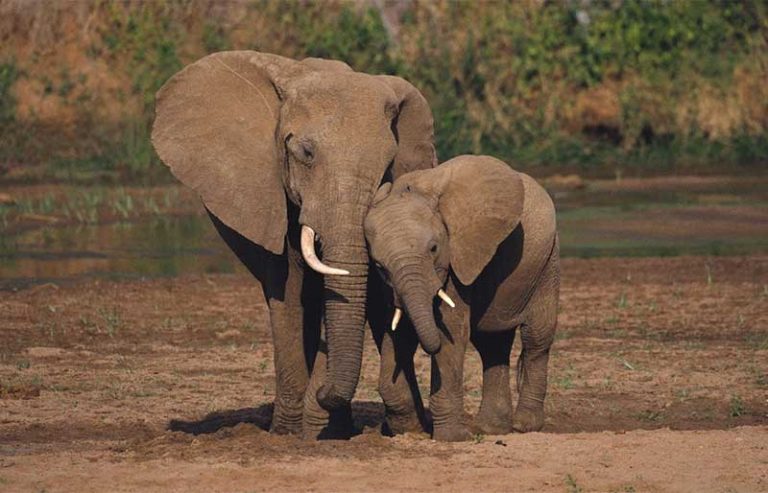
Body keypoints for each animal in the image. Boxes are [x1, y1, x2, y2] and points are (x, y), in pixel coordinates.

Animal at [151, 51, 437, 438]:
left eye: (387, 165)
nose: (324, 391)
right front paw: (291, 433)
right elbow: (287, 288)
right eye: (306, 153)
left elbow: (372, 292)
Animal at [363, 155, 560, 441]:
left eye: (434, 248)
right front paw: (407, 431)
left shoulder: (458, 260)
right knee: (492, 344)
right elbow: (398, 333)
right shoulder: (390, 286)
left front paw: (451, 438)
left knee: (536, 338)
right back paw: (491, 429)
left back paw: (524, 426)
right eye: (379, 265)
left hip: (547, 262)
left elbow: (451, 333)